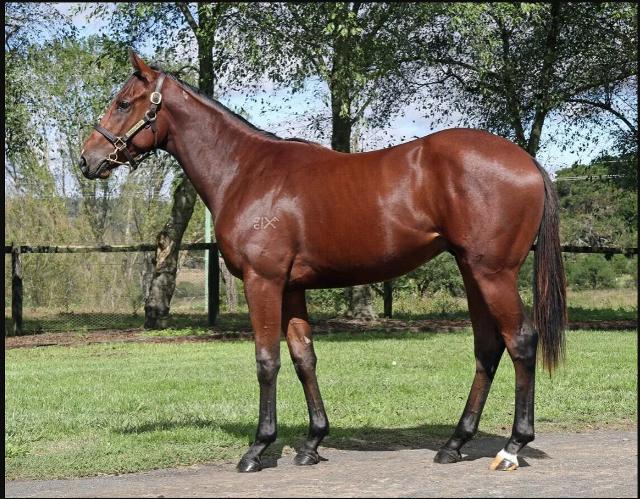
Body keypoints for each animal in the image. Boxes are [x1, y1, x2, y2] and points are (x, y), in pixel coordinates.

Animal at [79, 51, 566, 473]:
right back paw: (454, 443)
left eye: (124, 103)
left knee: (521, 341)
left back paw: (512, 446)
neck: (246, 172)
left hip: (493, 273)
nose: (88, 159)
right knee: (488, 347)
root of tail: (527, 162)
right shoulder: (292, 287)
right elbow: (303, 358)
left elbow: (267, 360)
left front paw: (258, 448)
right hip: (472, 271)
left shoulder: (263, 282)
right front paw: (312, 442)